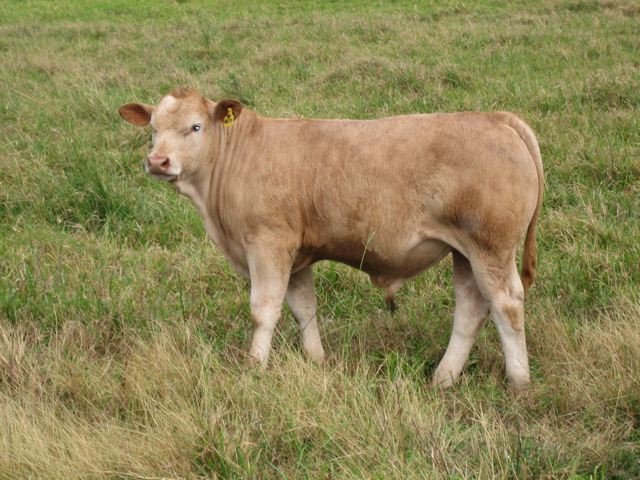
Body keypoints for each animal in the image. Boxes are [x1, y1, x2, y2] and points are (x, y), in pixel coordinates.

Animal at [118, 87, 543, 389]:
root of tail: (497, 118)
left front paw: (254, 367)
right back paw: (444, 378)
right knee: (471, 308)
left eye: (195, 127)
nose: (158, 162)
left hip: (490, 248)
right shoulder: (297, 255)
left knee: (506, 303)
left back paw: (518, 382)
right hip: (465, 252)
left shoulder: (268, 244)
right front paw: (317, 360)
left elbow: (263, 309)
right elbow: (304, 308)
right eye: (153, 129)